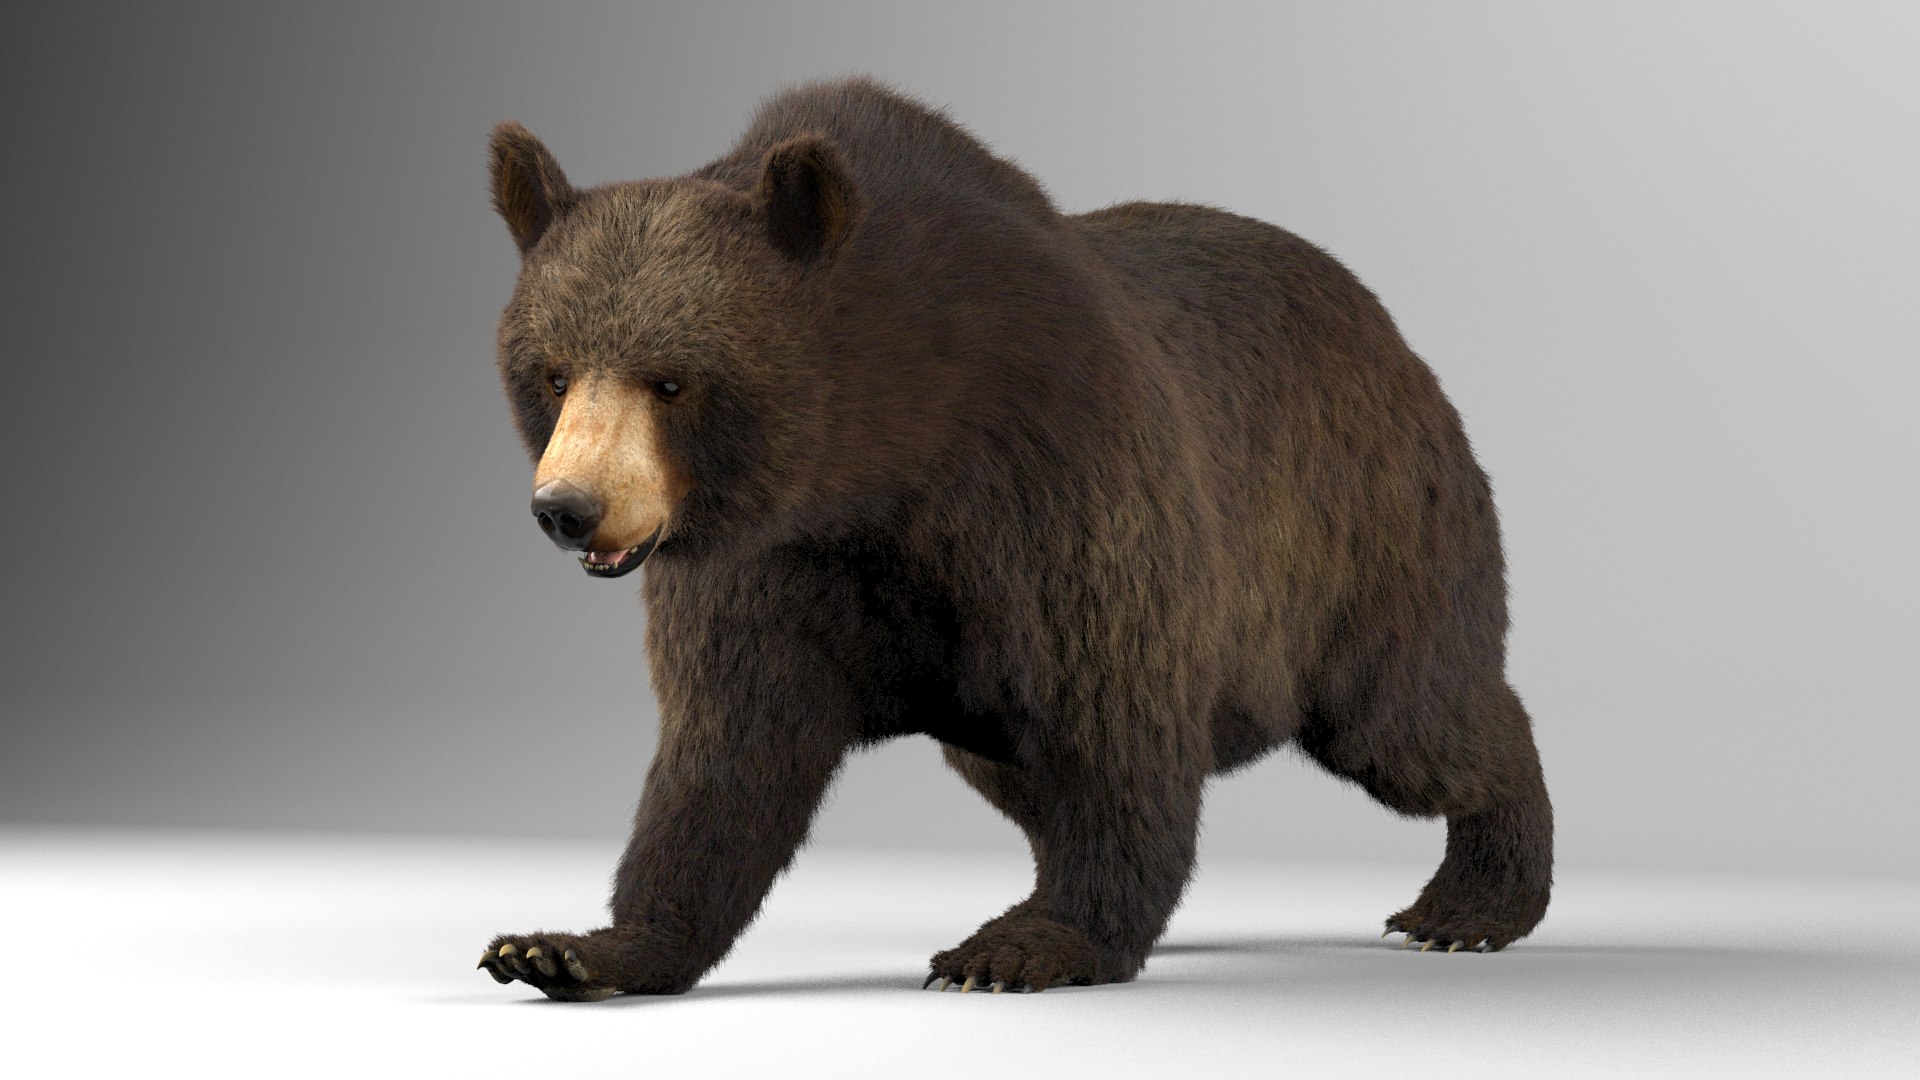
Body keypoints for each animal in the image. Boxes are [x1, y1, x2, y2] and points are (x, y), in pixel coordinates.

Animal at [476, 77, 1551, 999]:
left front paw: (1022, 945)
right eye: (554, 371)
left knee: (1411, 717)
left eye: (671, 379)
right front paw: (568, 948)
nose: (567, 506)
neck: (878, 466)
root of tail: (1387, 329)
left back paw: (1473, 901)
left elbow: (1110, 718)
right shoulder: (772, 566)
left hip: (1363, 530)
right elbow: (726, 755)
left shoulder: (1052, 482)